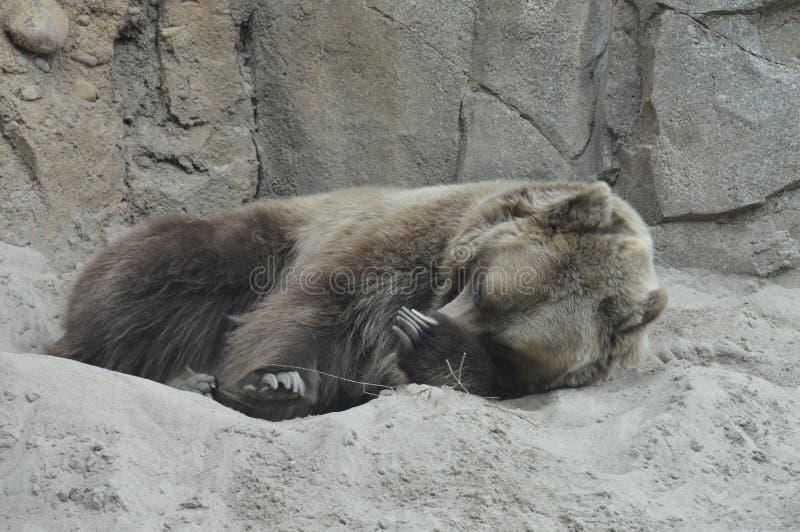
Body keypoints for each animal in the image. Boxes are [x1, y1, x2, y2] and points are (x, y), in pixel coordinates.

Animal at [47, 180, 667, 420]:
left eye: (508, 344)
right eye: (482, 283)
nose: (430, 316)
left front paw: (429, 344)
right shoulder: (395, 245)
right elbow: (321, 310)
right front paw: (276, 381)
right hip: (244, 246)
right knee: (149, 287)